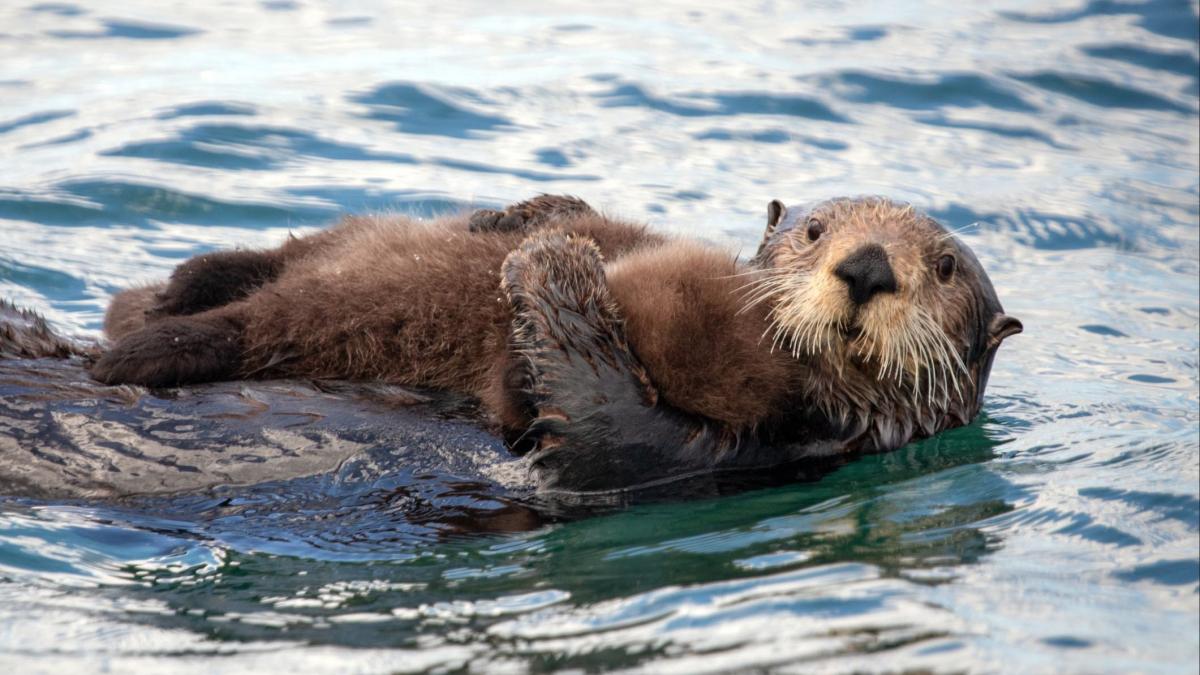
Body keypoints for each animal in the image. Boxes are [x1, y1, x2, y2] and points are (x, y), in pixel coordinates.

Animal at [90, 195, 1021, 491]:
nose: (866, 267)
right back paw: (161, 297)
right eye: (817, 230)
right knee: (259, 266)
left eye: (943, 268)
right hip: (315, 256)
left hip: (281, 317)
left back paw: (134, 347)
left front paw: (550, 262)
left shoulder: (711, 445)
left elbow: (577, 414)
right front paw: (525, 223)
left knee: (235, 326)